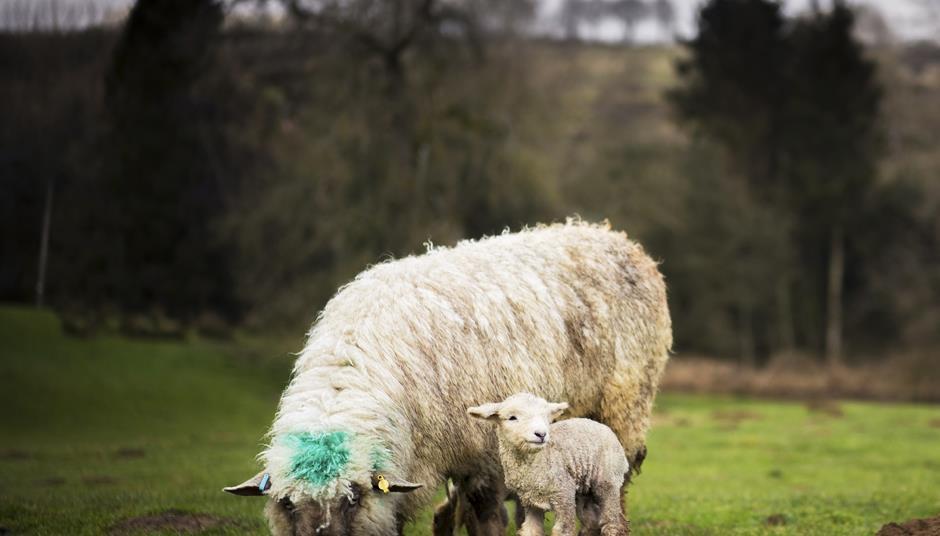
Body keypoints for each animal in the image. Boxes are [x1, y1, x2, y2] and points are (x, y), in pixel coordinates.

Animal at [468, 393, 631, 536]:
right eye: (512, 418)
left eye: (545, 416)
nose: (541, 434)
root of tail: (600, 425)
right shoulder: (530, 504)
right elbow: (531, 531)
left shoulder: (563, 496)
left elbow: (563, 530)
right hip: (582, 491)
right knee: (592, 522)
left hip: (607, 482)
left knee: (613, 523)